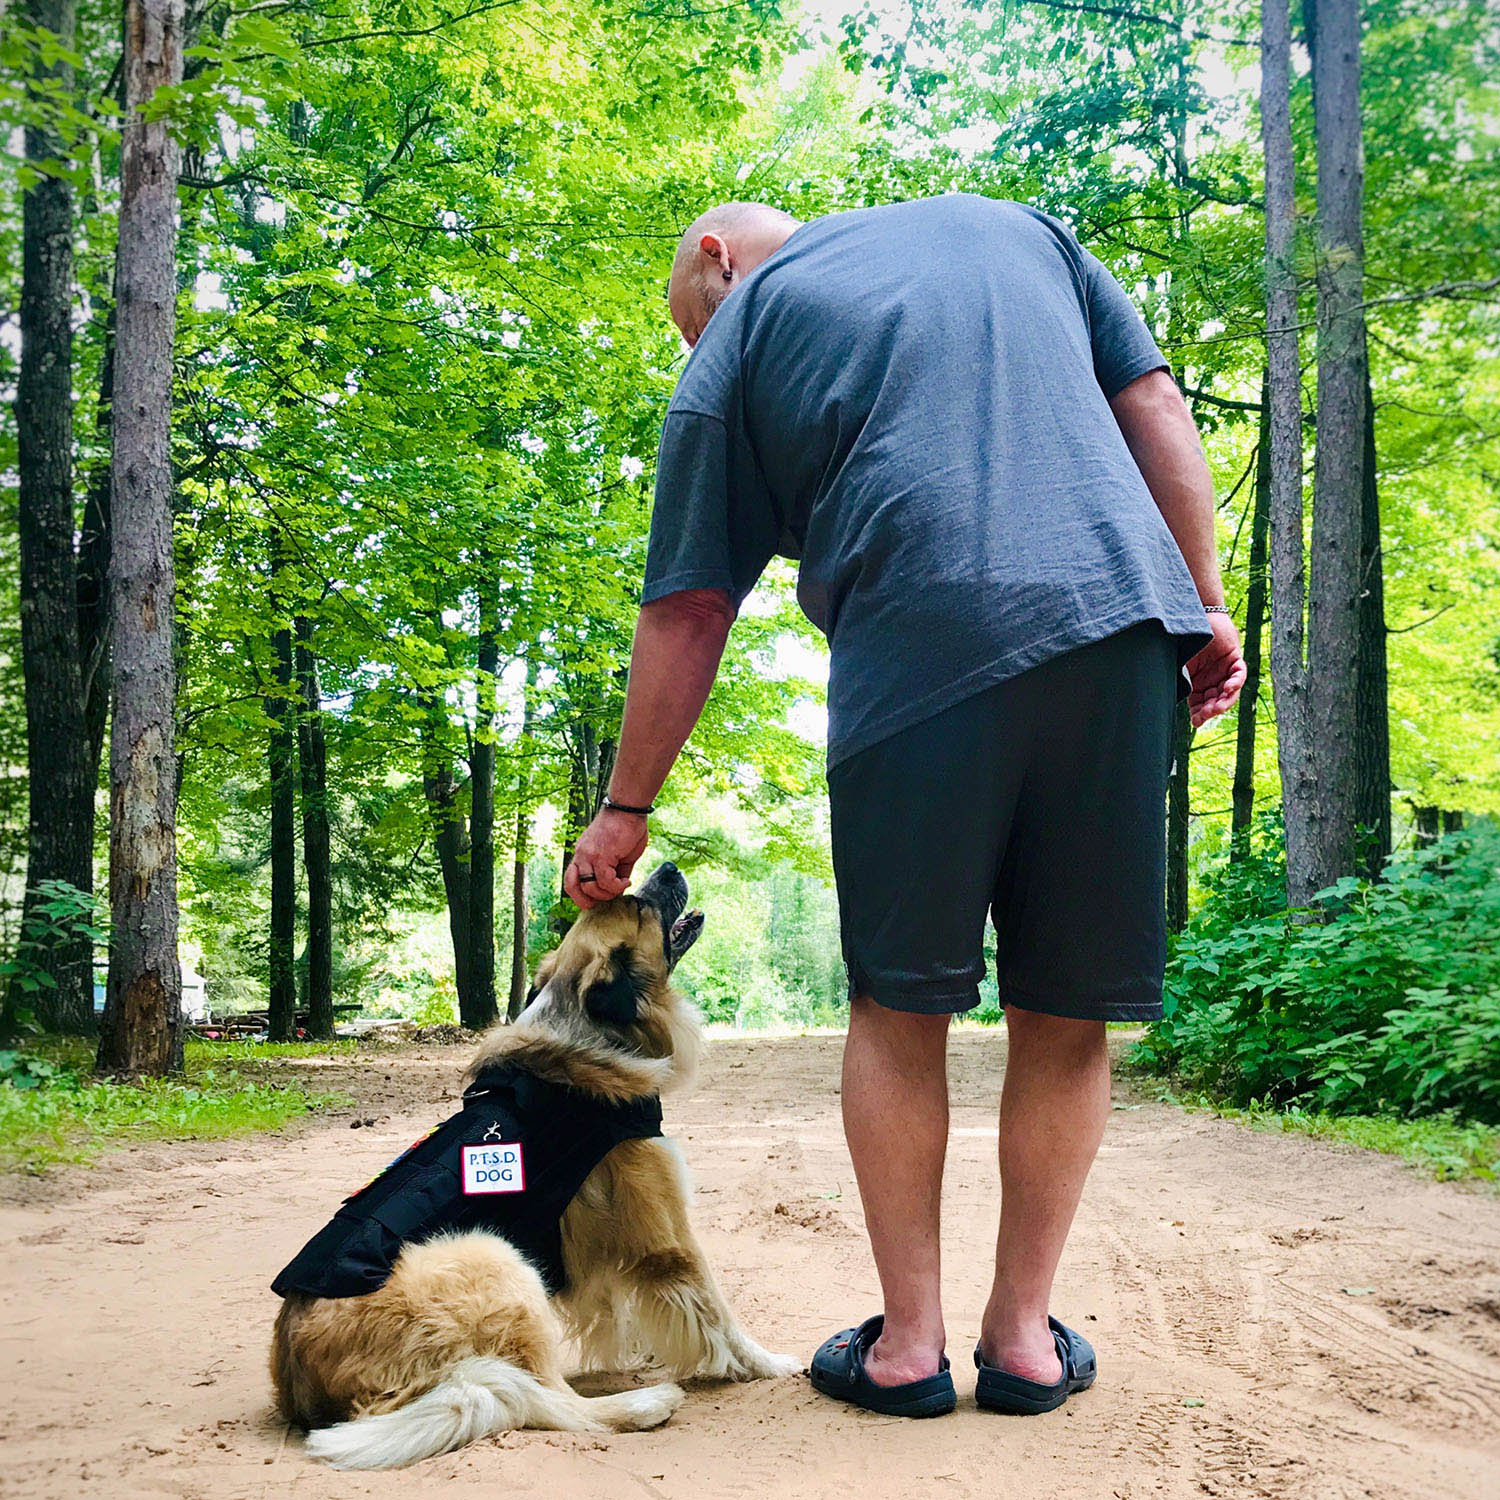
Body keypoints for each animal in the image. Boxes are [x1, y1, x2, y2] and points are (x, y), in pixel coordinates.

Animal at [267, 864, 798, 1470]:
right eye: (638, 906)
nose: (667, 869)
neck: (586, 1029)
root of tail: (301, 1391)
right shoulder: (668, 1237)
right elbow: (718, 1314)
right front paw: (768, 1364)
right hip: (495, 1259)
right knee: (548, 1401)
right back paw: (645, 1403)